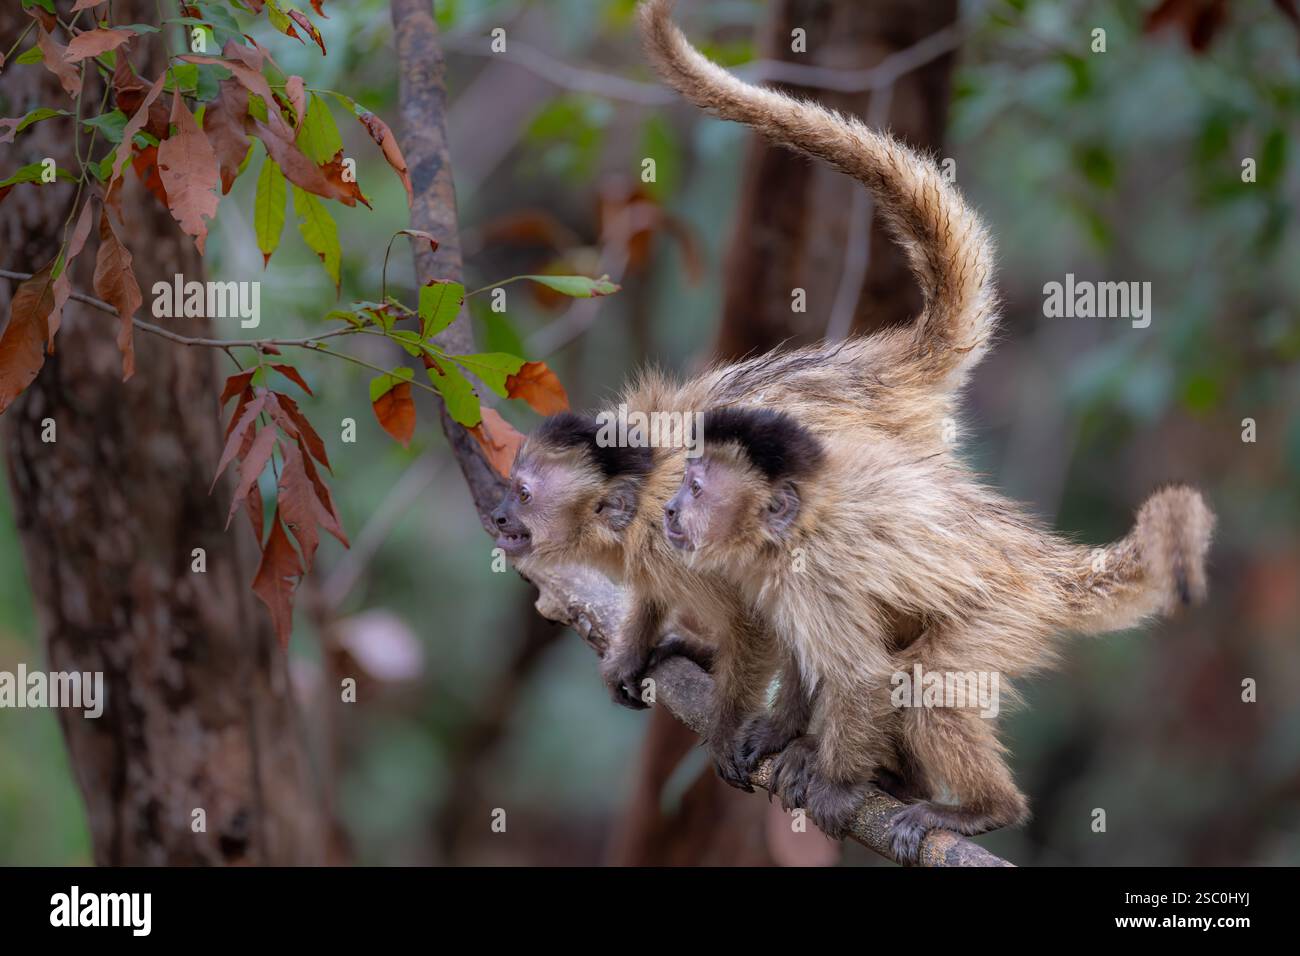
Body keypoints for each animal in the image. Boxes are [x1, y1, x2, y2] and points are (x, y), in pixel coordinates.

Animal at [662, 405, 1215, 860]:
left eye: (695, 489)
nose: (668, 508)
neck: (798, 522)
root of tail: (1040, 562)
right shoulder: (772, 571)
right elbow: (805, 652)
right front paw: (780, 732)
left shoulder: (816, 566)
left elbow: (863, 675)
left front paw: (836, 786)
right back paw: (890, 777)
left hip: (1009, 611)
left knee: (923, 678)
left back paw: (986, 808)